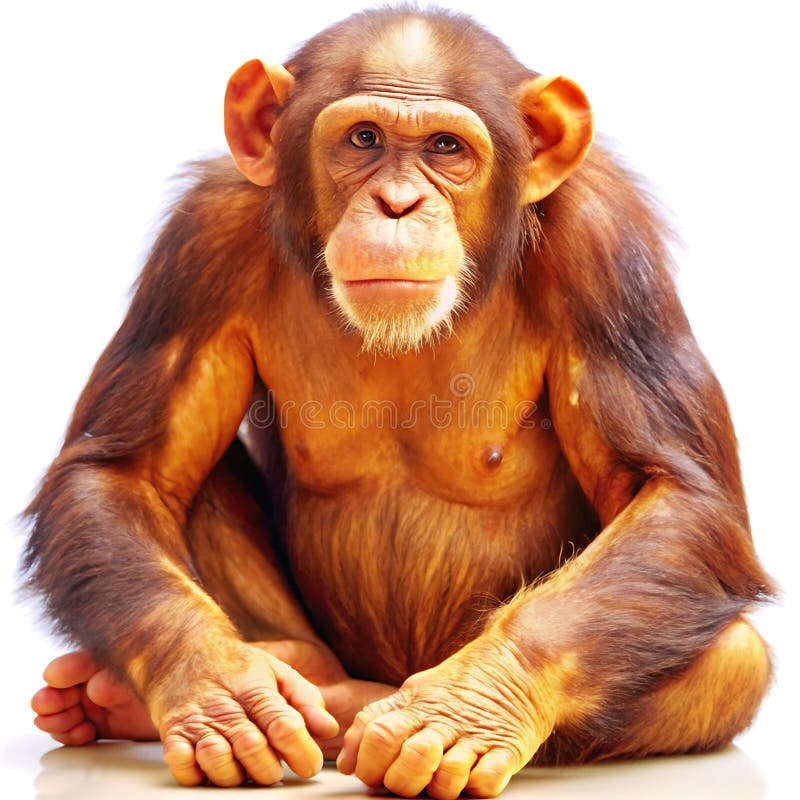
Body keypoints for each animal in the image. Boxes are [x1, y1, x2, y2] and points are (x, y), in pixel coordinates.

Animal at [25, 6, 773, 799]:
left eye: (447, 147)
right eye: (363, 139)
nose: (397, 203)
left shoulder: (606, 246)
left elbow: (672, 491)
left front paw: (468, 705)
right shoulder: (200, 243)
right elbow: (125, 473)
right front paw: (215, 683)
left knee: (738, 660)